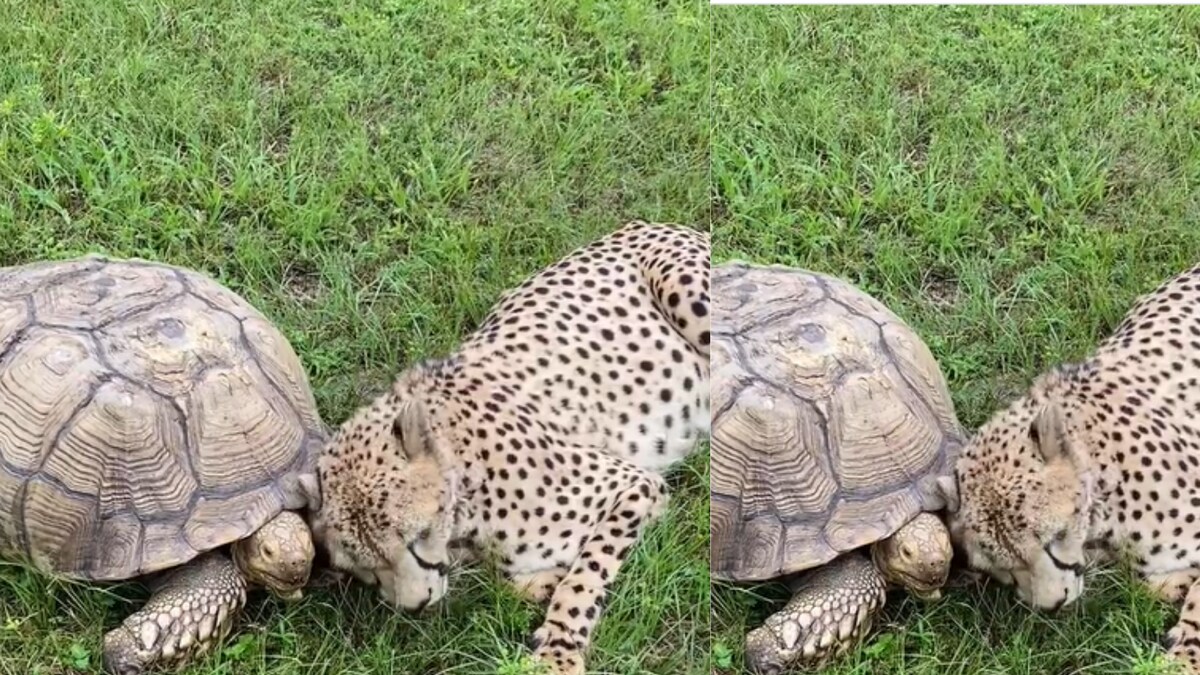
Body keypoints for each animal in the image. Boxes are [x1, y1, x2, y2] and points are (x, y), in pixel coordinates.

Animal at [309, 221, 710, 675]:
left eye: (419, 535)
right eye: (366, 567)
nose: (415, 605)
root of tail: (651, 223)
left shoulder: (634, 485)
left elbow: (585, 575)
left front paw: (558, 650)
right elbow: (507, 579)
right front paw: (538, 583)